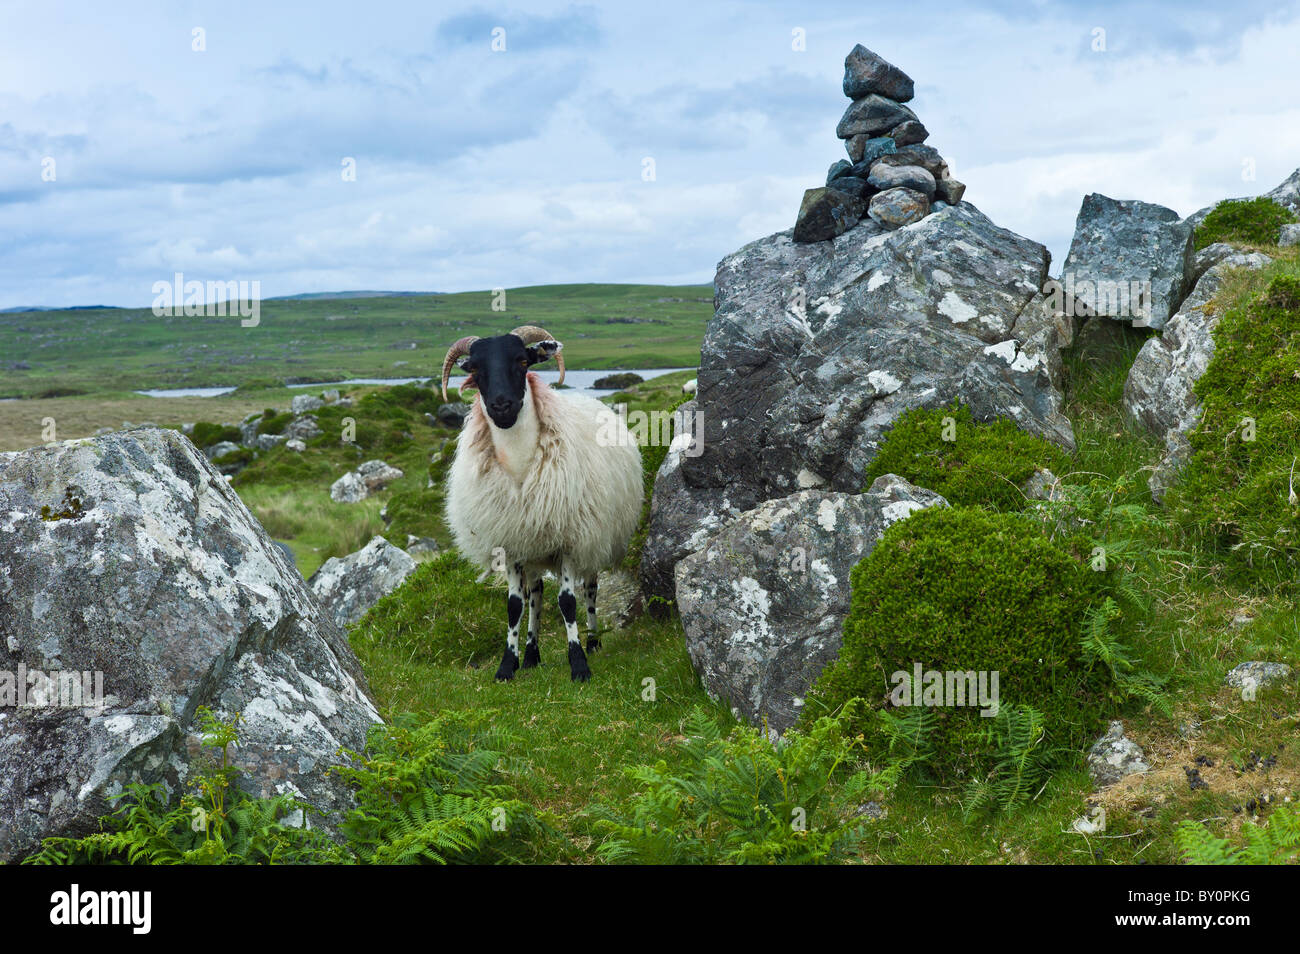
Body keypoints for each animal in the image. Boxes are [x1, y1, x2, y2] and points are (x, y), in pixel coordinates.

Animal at [441, 325, 643, 682]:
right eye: (475, 369)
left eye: (523, 360)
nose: (501, 405)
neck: (520, 464)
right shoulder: (511, 544)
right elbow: (514, 606)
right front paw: (508, 665)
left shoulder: (569, 541)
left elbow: (568, 603)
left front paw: (579, 663)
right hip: (533, 544)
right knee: (535, 595)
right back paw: (532, 654)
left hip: (593, 538)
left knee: (590, 590)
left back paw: (592, 641)